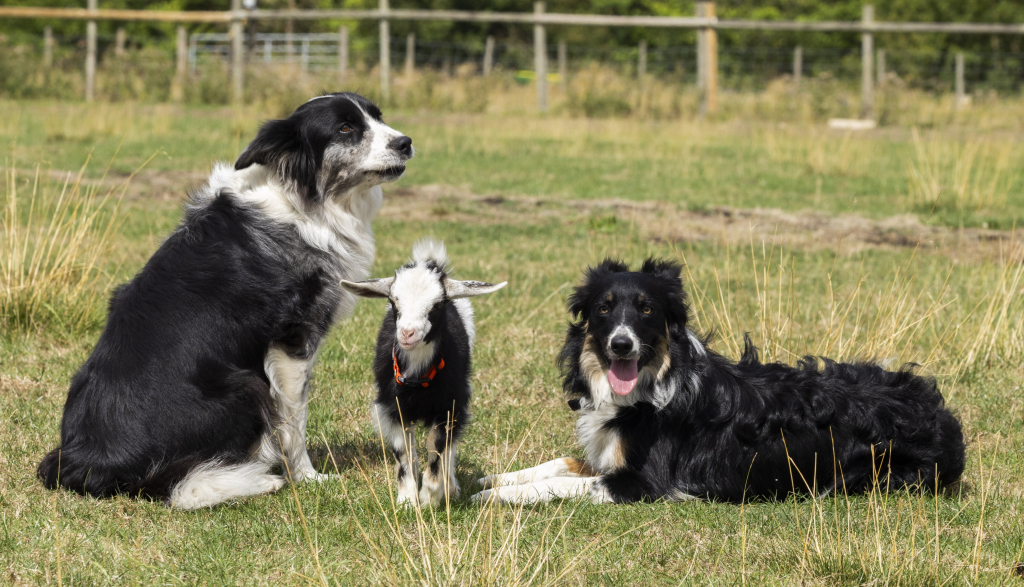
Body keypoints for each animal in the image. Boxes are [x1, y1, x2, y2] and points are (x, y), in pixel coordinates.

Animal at [341, 239, 506, 506]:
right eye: (393, 301)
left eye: (438, 304)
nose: (408, 333)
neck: (417, 379)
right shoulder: (392, 408)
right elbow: (404, 451)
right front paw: (407, 501)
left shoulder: (450, 407)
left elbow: (437, 446)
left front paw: (431, 497)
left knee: (451, 447)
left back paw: (451, 487)